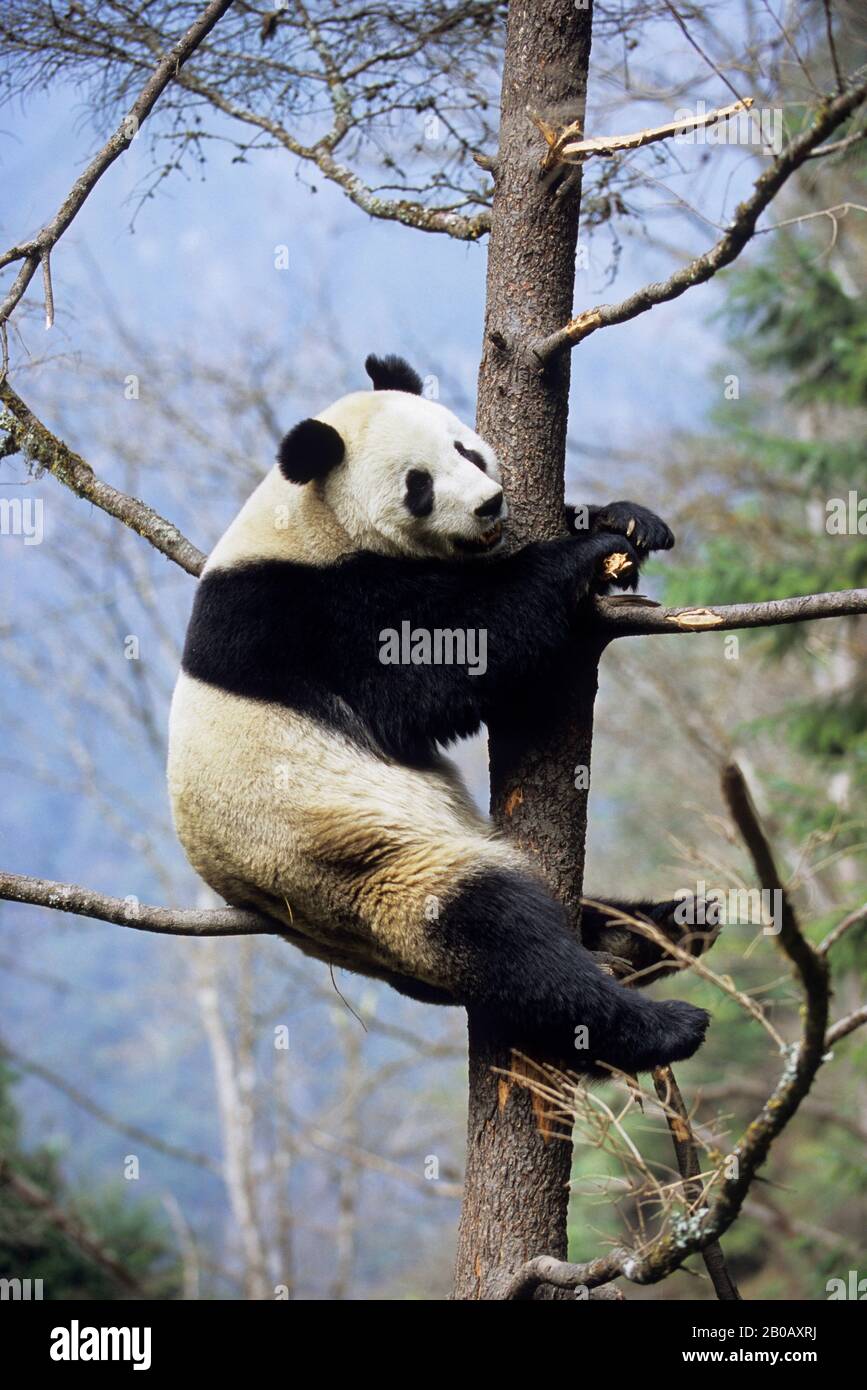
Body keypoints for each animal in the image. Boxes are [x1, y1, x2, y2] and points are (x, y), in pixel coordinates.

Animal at [167, 353, 709, 1073]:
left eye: (465, 449)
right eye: (418, 486)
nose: (489, 504)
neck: (309, 520)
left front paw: (623, 521)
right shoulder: (304, 615)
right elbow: (431, 676)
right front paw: (580, 553)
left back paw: (669, 926)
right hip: (362, 868)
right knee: (496, 932)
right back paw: (660, 1023)